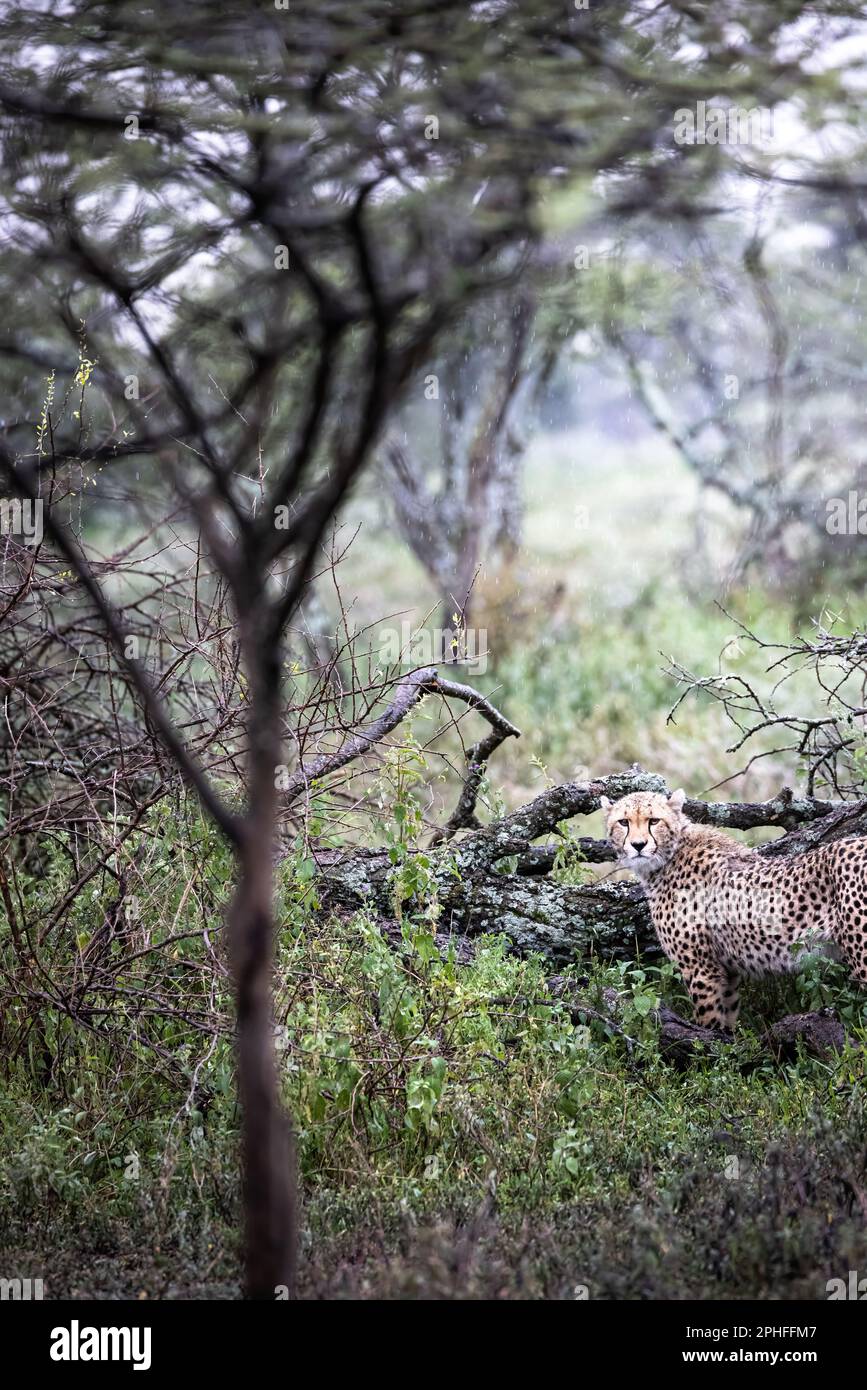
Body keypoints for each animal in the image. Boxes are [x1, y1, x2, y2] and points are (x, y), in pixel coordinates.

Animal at [600, 787, 867, 1032]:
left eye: (654, 821)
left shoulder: (700, 968)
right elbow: (726, 1020)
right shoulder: (727, 970)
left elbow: (708, 1023)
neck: (669, 855)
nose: (638, 845)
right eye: (623, 822)